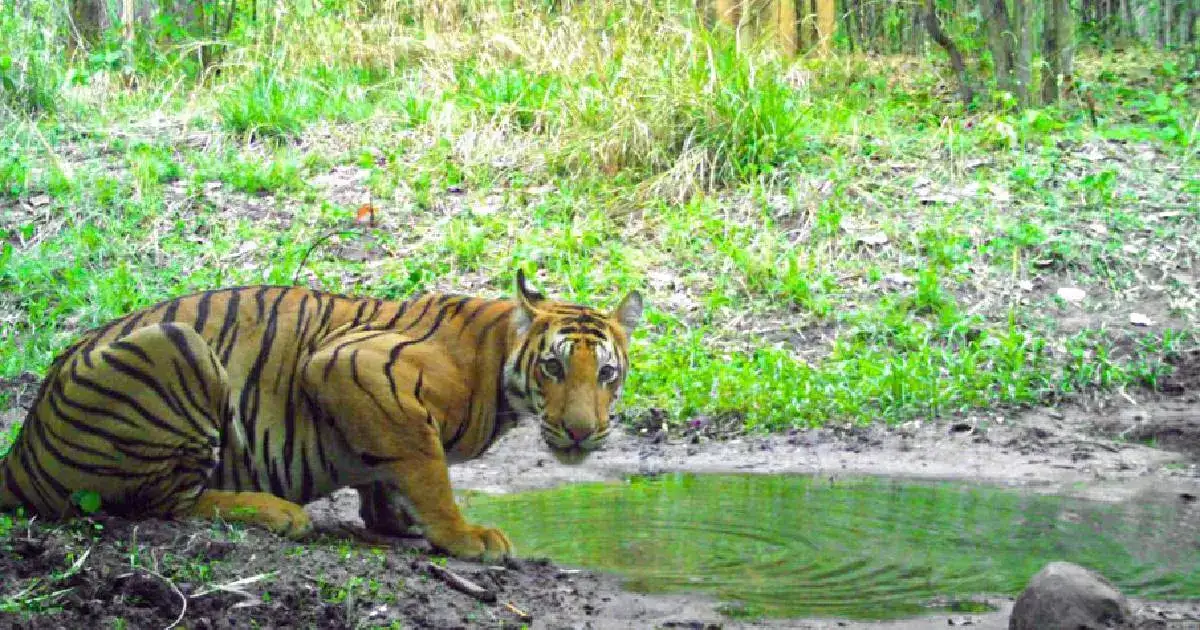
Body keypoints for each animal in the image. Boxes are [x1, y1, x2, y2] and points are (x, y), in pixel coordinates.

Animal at [0, 270, 643, 561]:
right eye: (553, 368)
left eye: (607, 375)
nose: (582, 433)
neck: (498, 362)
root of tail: (20, 448)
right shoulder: (353, 364)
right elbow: (426, 468)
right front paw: (463, 536)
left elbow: (388, 478)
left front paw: (397, 521)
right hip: (177, 346)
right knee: (163, 504)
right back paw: (278, 512)